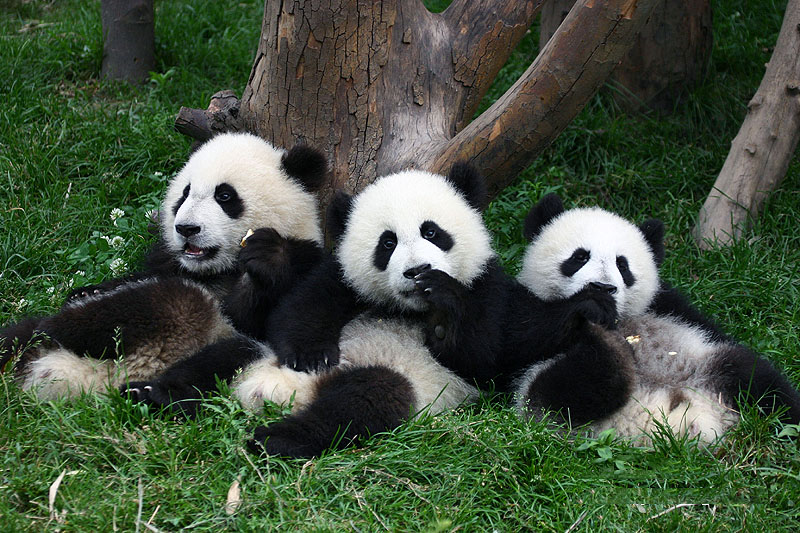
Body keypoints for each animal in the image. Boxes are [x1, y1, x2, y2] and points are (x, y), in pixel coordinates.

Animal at [0, 132, 328, 401]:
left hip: (209, 336)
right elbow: (146, 272)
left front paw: (266, 258)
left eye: (224, 196)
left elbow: (259, 316)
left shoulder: (306, 262)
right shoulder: (169, 262)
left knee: (193, 328)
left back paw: (146, 390)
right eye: (184, 194)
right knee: (18, 335)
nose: (186, 228)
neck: (216, 269)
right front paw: (84, 291)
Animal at [232, 163, 513, 458]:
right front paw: (310, 356)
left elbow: (481, 358)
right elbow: (297, 309)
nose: (417, 270)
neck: (409, 310)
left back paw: (276, 438)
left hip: (409, 383)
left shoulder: (487, 284)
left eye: (431, 232)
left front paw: (442, 297)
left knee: (361, 404)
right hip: (254, 354)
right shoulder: (343, 278)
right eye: (388, 243)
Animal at [512, 193, 800, 443]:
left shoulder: (670, 307)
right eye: (580, 257)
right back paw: (609, 351)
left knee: (760, 381)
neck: (619, 320)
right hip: (545, 398)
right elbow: (522, 338)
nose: (603, 287)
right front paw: (590, 308)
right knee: (569, 390)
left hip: (710, 364)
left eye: (622, 265)